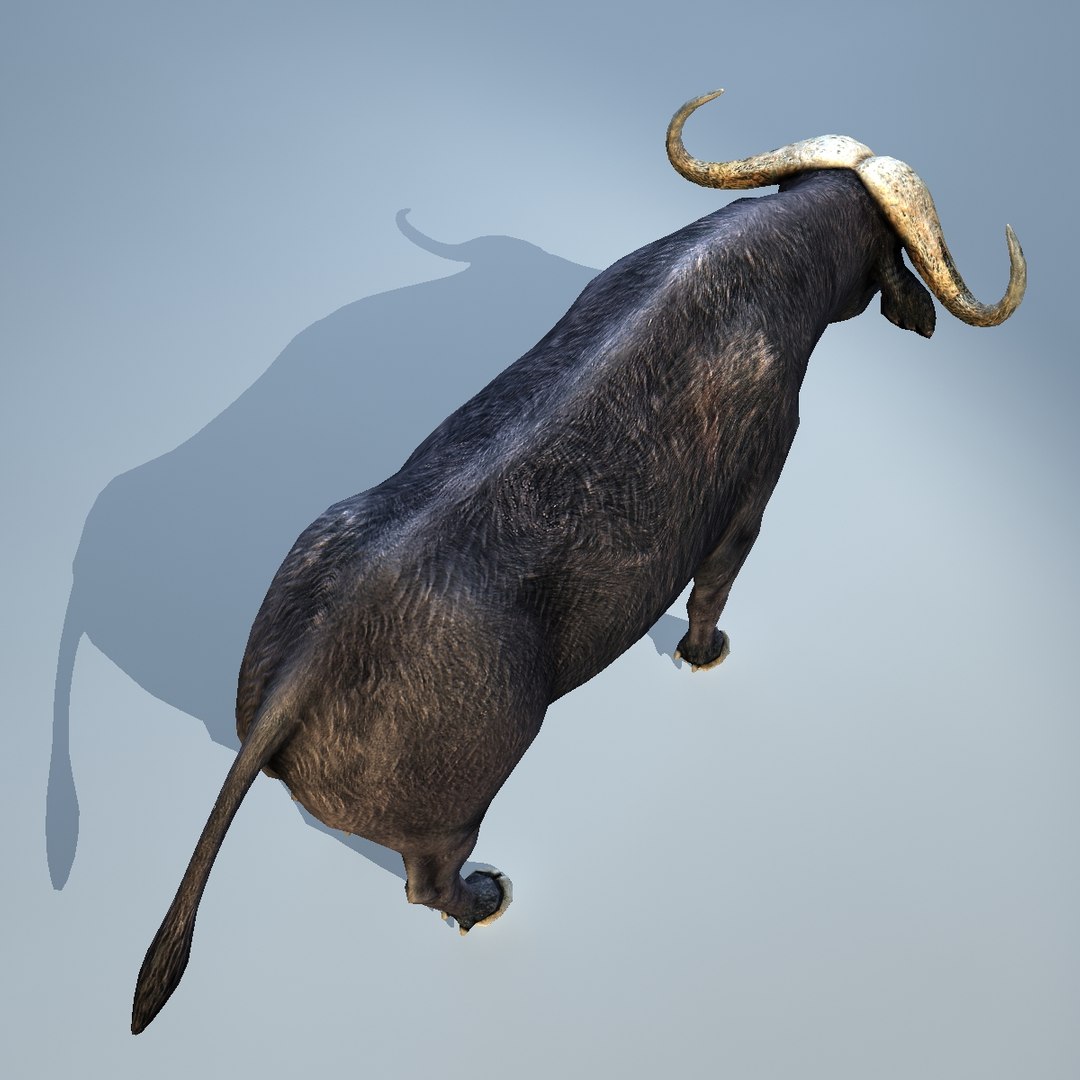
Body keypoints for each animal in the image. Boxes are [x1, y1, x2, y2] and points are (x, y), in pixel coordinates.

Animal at [132, 90, 1025, 1033]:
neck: (770, 256)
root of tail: (307, 664)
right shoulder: (754, 487)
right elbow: (715, 585)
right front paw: (707, 655)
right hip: (464, 801)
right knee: (427, 880)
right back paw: (487, 897)